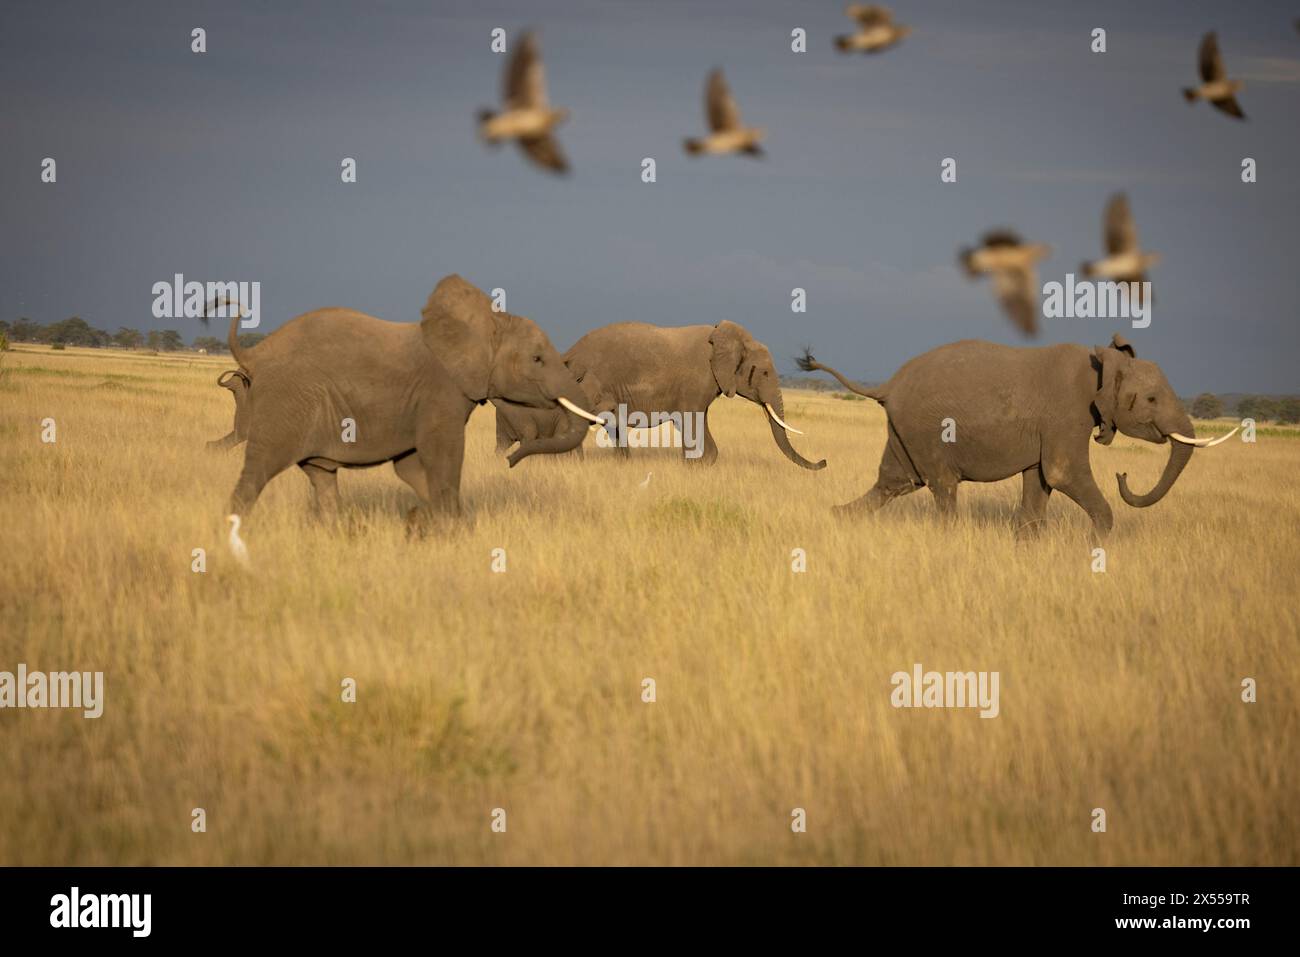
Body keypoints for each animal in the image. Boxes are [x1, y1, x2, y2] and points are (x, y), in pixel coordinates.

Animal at [221, 274, 603, 524]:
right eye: (537, 359)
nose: (509, 463)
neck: (485, 323)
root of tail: (256, 355)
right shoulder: (440, 393)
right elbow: (443, 457)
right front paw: (451, 531)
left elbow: (412, 467)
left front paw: (436, 523)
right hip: (286, 402)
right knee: (257, 471)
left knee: (322, 478)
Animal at [551, 320, 826, 469]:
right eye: (765, 373)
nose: (823, 462)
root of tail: (568, 353)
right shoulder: (697, 379)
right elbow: (692, 422)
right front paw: (693, 465)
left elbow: (701, 423)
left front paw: (696, 466)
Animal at [798, 334, 1234, 537]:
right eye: (1151, 398)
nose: (1123, 475)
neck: (1102, 364)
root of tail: (887, 384)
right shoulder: (1066, 412)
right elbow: (1062, 473)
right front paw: (1096, 546)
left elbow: (1040, 480)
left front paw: (1027, 545)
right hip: (926, 428)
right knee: (941, 485)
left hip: (905, 429)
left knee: (895, 481)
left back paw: (836, 516)